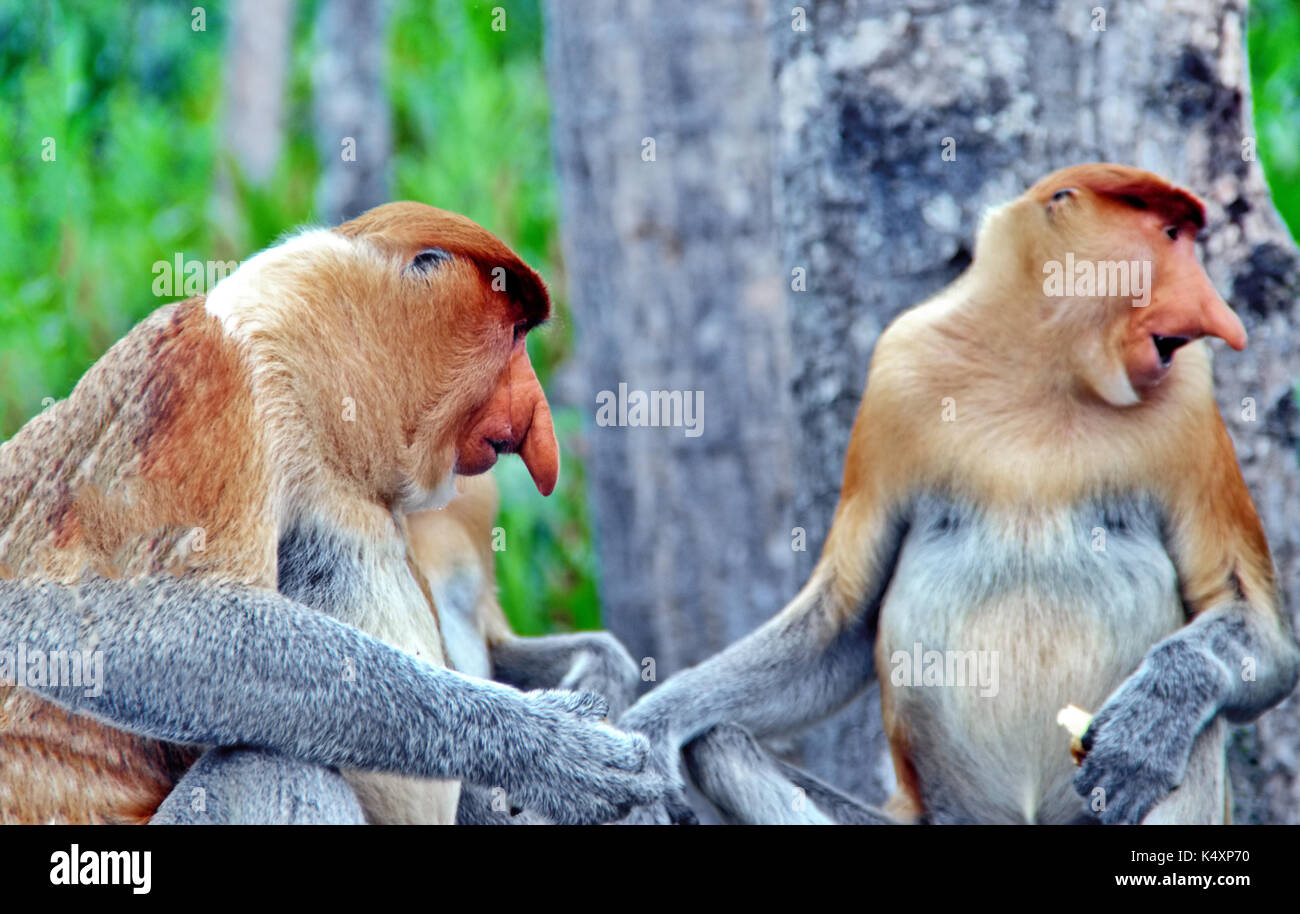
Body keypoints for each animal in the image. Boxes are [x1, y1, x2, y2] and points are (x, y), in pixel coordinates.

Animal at [0, 202, 668, 825]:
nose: (537, 420)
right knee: (272, 765)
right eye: (515, 336)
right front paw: (560, 749)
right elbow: (81, 622)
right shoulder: (205, 375)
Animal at [619, 164, 1300, 825]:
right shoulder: (896, 372)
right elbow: (843, 621)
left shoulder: (1189, 402)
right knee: (718, 741)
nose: (1222, 319)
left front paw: (1151, 719)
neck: (1047, 366)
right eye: (1170, 236)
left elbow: (1261, 639)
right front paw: (650, 727)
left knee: (1202, 720)